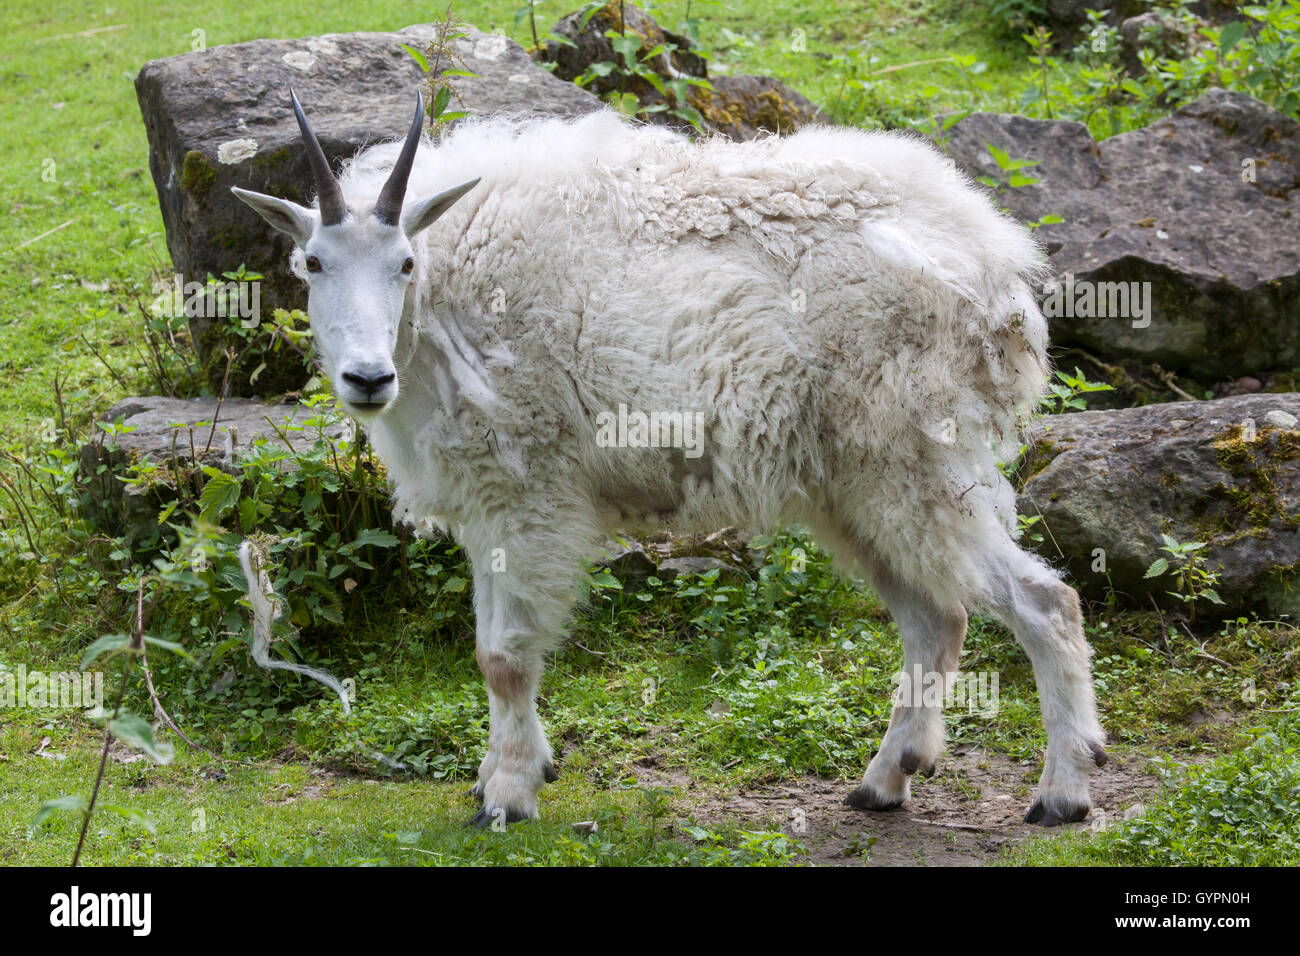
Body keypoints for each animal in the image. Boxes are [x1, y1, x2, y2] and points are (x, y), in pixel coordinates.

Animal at [233, 90, 1107, 828]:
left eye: (404, 264)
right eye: (313, 264)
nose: (366, 377)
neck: (447, 297)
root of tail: (997, 267)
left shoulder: (527, 490)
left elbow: (503, 658)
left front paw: (508, 796)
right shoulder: (488, 504)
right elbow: (490, 650)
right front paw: (506, 775)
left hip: (917, 458)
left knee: (1044, 602)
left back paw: (1062, 792)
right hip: (855, 485)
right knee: (936, 615)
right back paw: (886, 778)